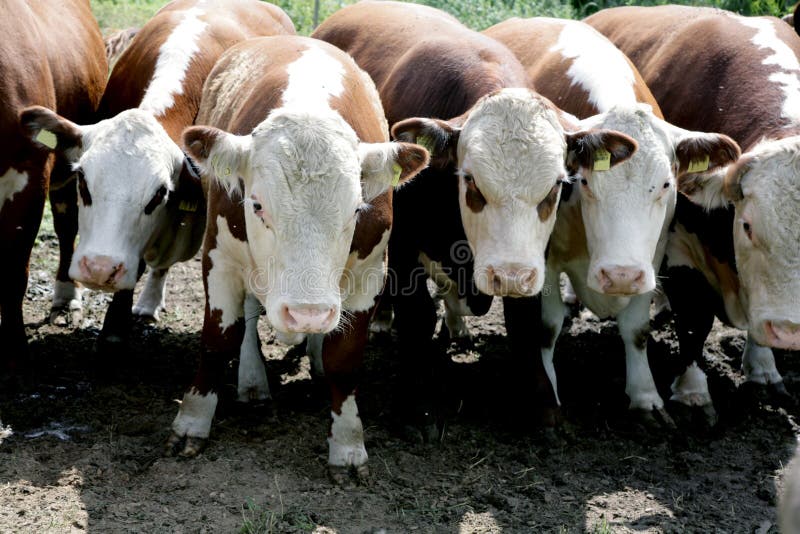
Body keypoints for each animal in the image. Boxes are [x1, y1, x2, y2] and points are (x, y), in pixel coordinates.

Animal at [165, 35, 429, 484]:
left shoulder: (370, 272)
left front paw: (348, 445)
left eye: (357, 209)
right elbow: (218, 340)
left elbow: (345, 361)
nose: (307, 313)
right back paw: (253, 384)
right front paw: (193, 421)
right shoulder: (220, 258)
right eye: (256, 205)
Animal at [313, 1, 639, 434]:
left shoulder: (532, 257)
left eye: (557, 185)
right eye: (469, 180)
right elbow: (417, 318)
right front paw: (415, 404)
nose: (508, 276)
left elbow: (525, 320)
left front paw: (541, 401)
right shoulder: (401, 246)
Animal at [483, 17, 741, 427]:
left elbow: (636, 330)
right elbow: (546, 327)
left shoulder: (650, 257)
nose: (619, 275)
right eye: (585, 182)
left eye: (666, 184)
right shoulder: (546, 259)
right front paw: (548, 390)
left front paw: (645, 397)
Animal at [587, 6, 800, 421]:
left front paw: (763, 368)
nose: (790, 329)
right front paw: (693, 392)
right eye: (747, 227)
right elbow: (695, 318)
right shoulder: (680, 242)